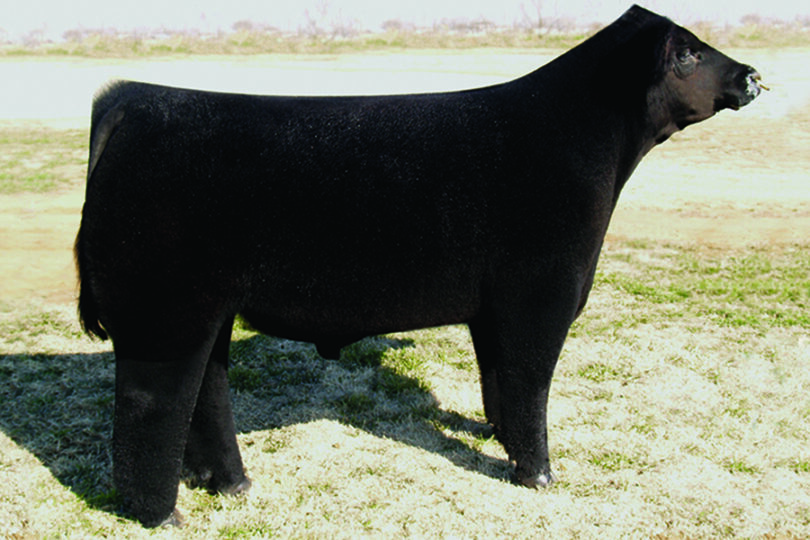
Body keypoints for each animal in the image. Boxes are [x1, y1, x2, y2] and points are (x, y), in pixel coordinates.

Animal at [75, 5, 764, 527]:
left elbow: (498, 381)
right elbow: (530, 385)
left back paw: (232, 484)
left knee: (205, 396)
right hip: (164, 316)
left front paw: (499, 441)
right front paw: (538, 474)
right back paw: (163, 514)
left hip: (207, 314)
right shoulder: (541, 297)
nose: (753, 75)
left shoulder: (494, 308)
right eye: (687, 54)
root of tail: (131, 99)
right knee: (150, 409)